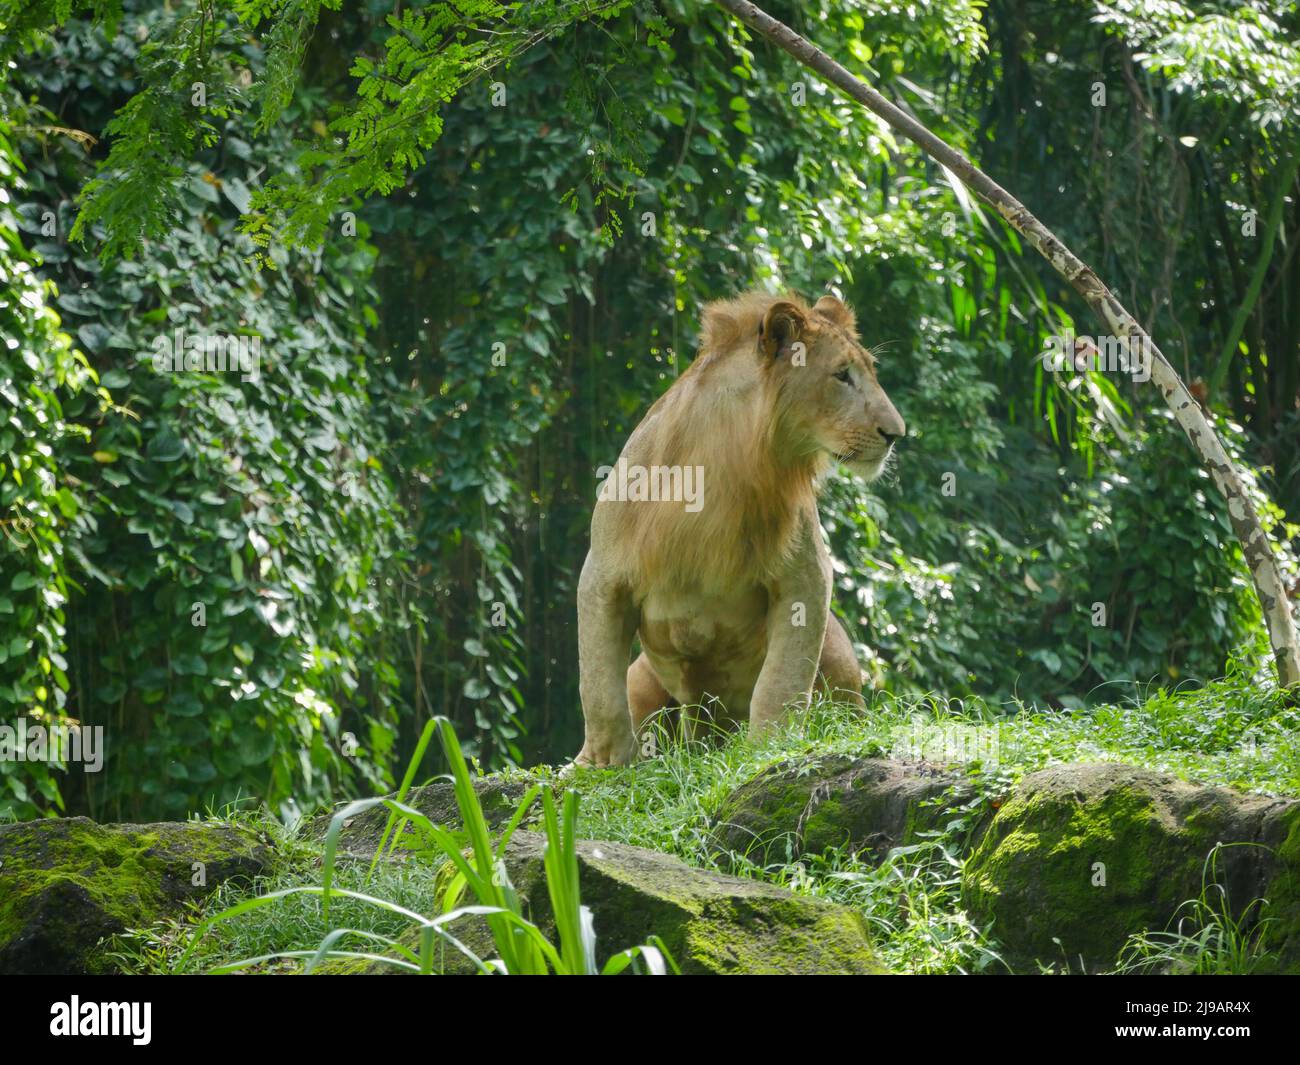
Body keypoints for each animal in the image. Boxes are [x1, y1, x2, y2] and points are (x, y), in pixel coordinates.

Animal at [575, 290, 906, 766]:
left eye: (868, 372)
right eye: (842, 375)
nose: (896, 434)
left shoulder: (806, 574)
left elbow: (782, 680)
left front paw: (769, 746)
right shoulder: (603, 574)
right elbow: (598, 685)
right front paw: (596, 763)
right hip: (646, 677)